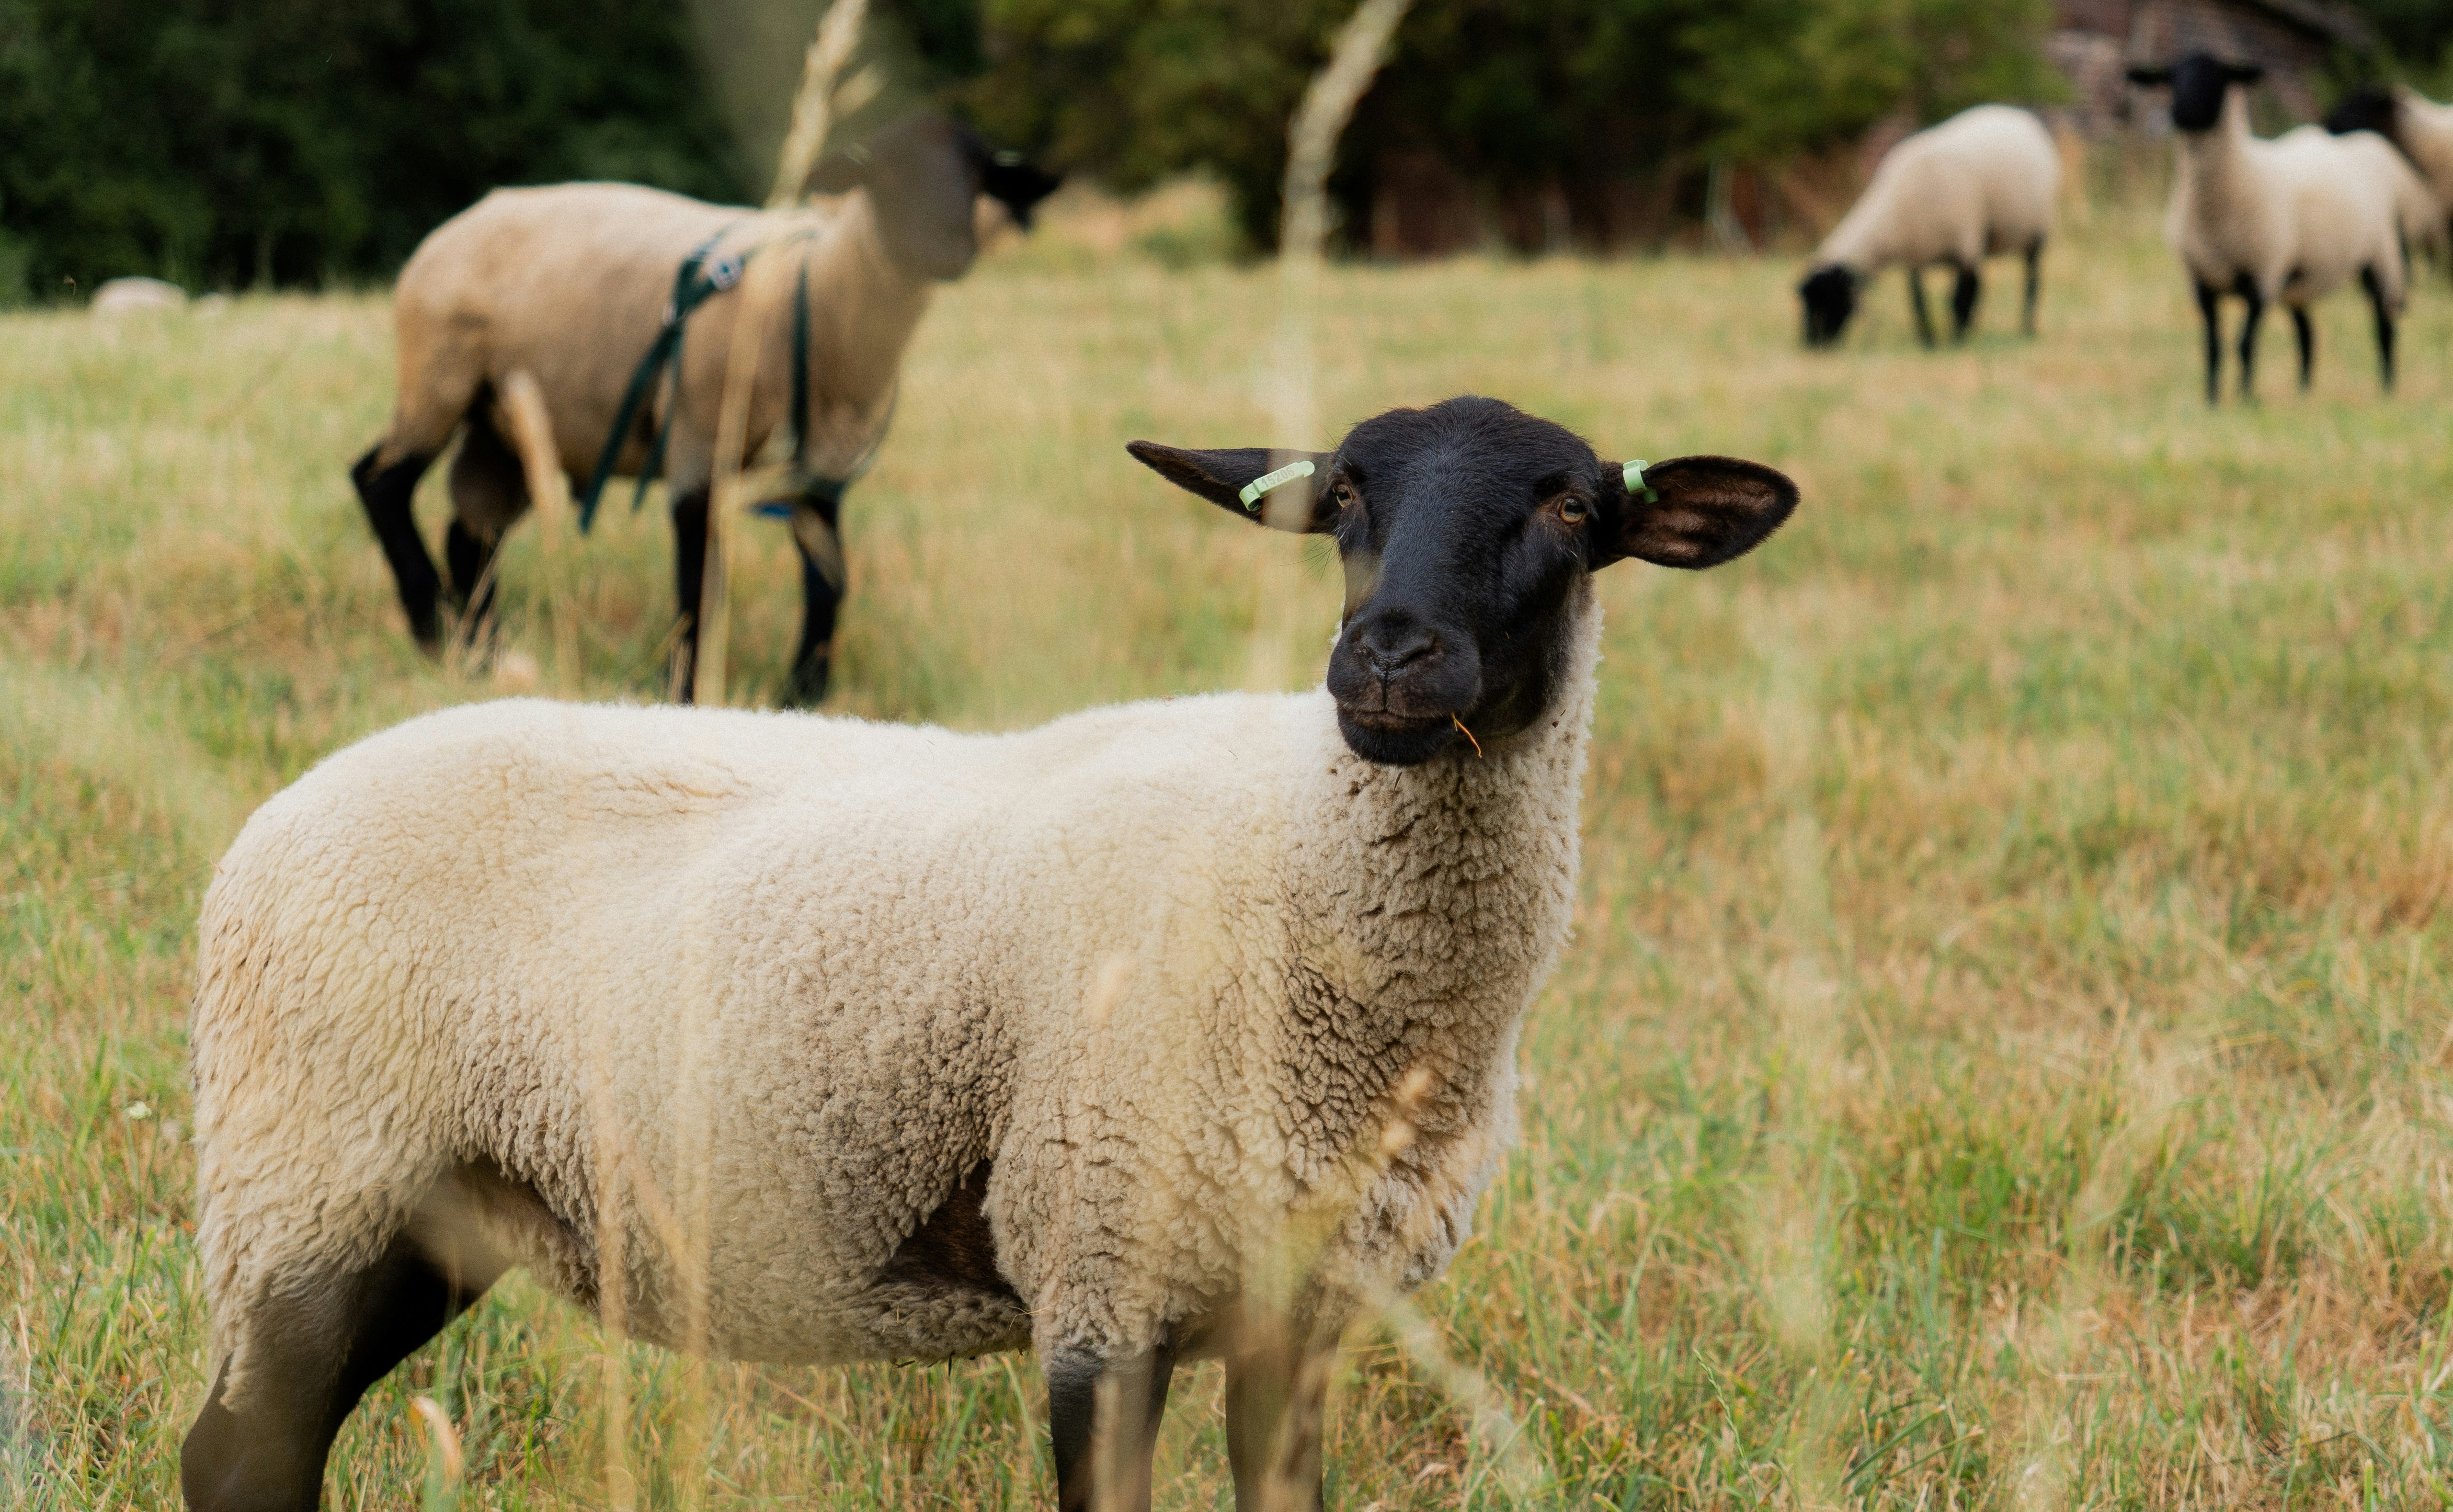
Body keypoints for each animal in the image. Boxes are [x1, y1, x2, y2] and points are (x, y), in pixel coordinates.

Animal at [180, 395, 1799, 1512]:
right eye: (1343, 492)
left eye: (1570, 508)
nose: (1389, 659)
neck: (1294, 864)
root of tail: (273, 816)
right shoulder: (1101, 1269)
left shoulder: (1306, 1308)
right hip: (313, 1178)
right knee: (240, 1455)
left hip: (430, 1210)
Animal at [351, 111, 1059, 705]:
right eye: (884, 175)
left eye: (978, 176)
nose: (949, 247)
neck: (810, 289)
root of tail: (463, 220)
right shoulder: (697, 442)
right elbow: (699, 583)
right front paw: (686, 692)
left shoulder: (821, 474)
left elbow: (828, 584)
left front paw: (804, 695)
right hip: (437, 379)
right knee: (380, 482)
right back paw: (431, 627)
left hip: (508, 426)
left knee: (471, 533)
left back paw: (483, 657)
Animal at [1797, 104, 2059, 349]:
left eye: (1829, 298)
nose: (1811, 345)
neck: (1893, 214)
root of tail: (2013, 112)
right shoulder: (1917, 255)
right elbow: (1919, 302)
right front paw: (1929, 341)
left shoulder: (1964, 244)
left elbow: (1961, 298)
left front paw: (1957, 340)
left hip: (2036, 230)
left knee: (2032, 279)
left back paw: (2027, 328)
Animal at [2127, 54, 2407, 402]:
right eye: (2170, 77)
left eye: (2216, 77)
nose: (2180, 112)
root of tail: (2362, 140)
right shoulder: (2202, 280)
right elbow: (2212, 347)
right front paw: (2212, 400)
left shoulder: (2262, 275)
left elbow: (2245, 344)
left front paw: (2245, 398)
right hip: (2299, 279)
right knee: (2307, 336)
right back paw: (2303, 395)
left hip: (2381, 253)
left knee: (2384, 325)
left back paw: (2387, 390)